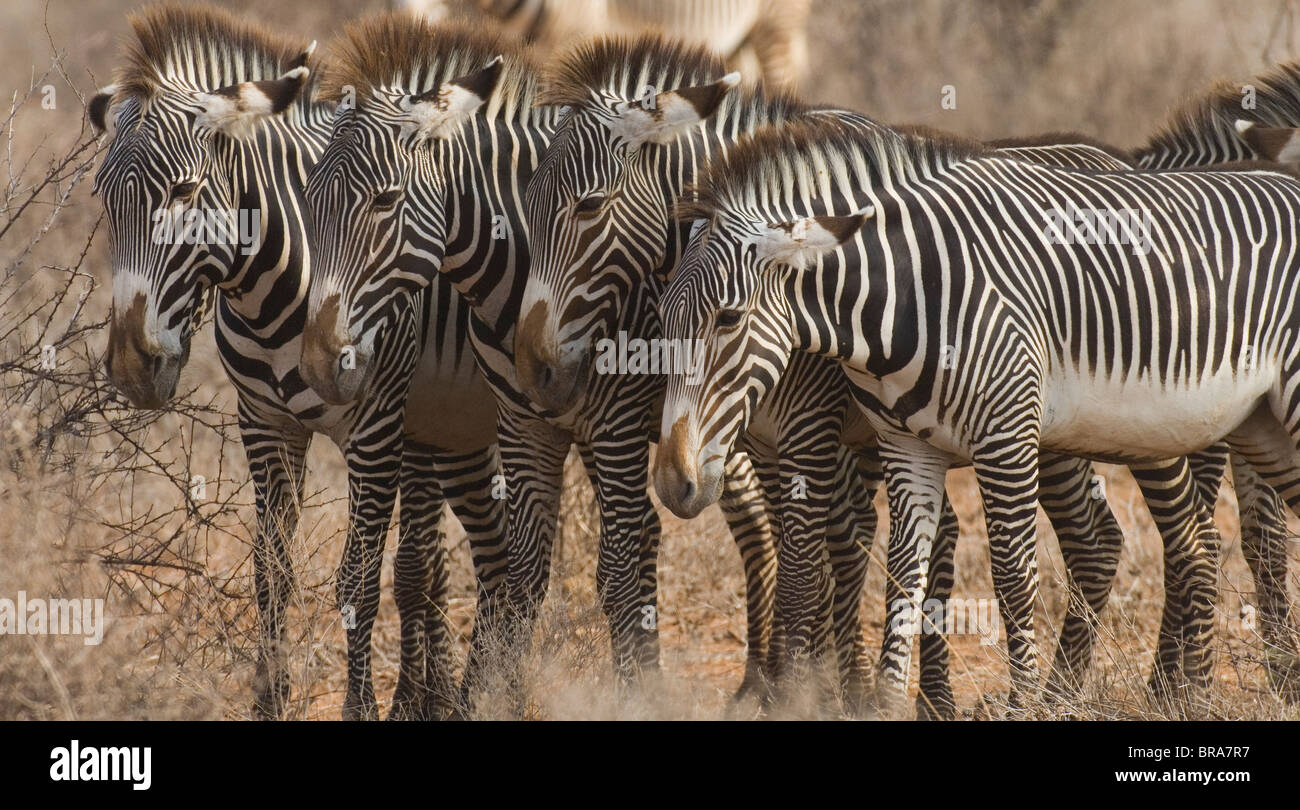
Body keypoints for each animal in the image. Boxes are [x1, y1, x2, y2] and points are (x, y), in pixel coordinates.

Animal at [89, 3, 506, 720]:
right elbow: (272, 570)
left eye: (185, 191)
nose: (130, 369)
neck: (275, 291)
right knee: (444, 559)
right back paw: (433, 694)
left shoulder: (375, 432)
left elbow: (358, 579)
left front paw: (360, 708)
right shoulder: (266, 424)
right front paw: (269, 700)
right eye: (103, 196)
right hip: (441, 430)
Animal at [297, 12, 782, 704]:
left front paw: (628, 696)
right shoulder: (523, 426)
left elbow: (614, 575)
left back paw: (766, 680)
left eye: (385, 201)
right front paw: (492, 699)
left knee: (761, 524)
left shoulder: (617, 429)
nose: (316, 366)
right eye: (309, 200)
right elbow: (520, 578)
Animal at [654, 117, 1300, 711]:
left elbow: (1012, 578)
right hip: (1259, 428)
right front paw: (888, 703)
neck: (905, 291)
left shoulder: (1001, 439)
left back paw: (1180, 695)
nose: (670, 482)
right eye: (661, 319)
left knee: (1189, 540)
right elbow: (903, 575)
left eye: (728, 318)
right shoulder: (907, 449)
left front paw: (1020, 707)